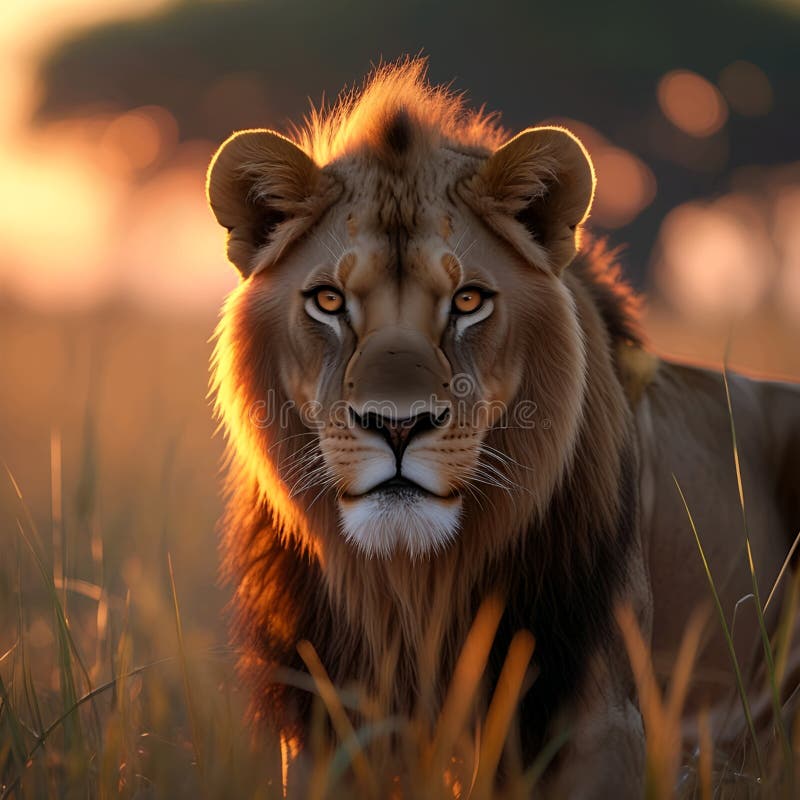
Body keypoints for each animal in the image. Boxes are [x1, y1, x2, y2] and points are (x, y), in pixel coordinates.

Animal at [206, 60, 800, 796]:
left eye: (468, 301)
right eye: (328, 300)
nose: (397, 425)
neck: (415, 586)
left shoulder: (601, 716)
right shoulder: (324, 722)